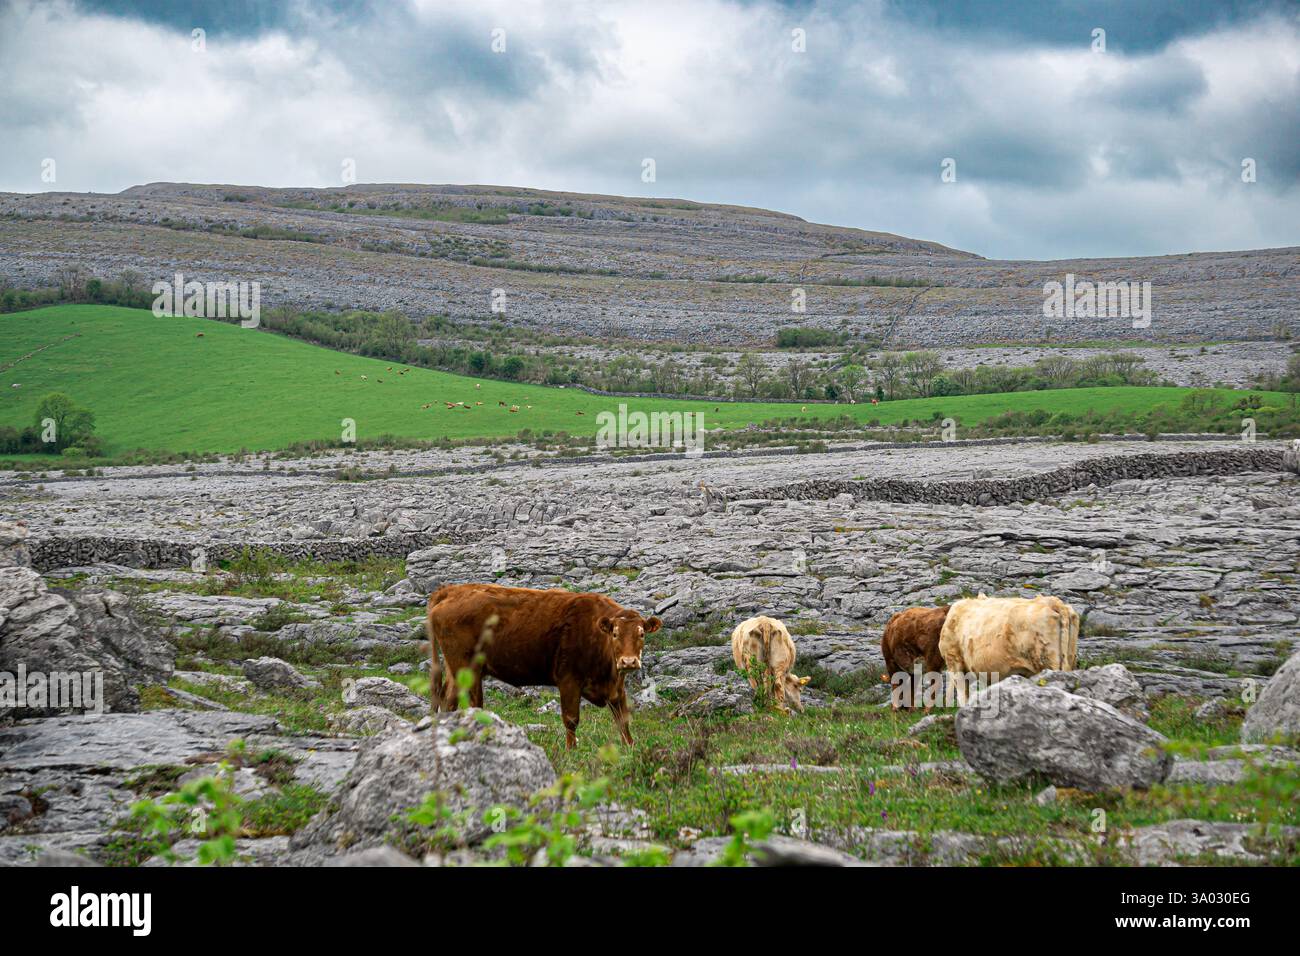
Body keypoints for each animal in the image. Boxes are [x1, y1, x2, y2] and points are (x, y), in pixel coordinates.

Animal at [425, 583, 661, 749]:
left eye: (641, 634)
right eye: (615, 634)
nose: (628, 661)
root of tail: (451, 590)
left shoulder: (616, 689)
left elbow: (623, 721)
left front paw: (630, 749)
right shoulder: (568, 680)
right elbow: (571, 719)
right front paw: (571, 751)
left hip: (456, 670)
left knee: (448, 701)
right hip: (467, 668)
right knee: (471, 704)